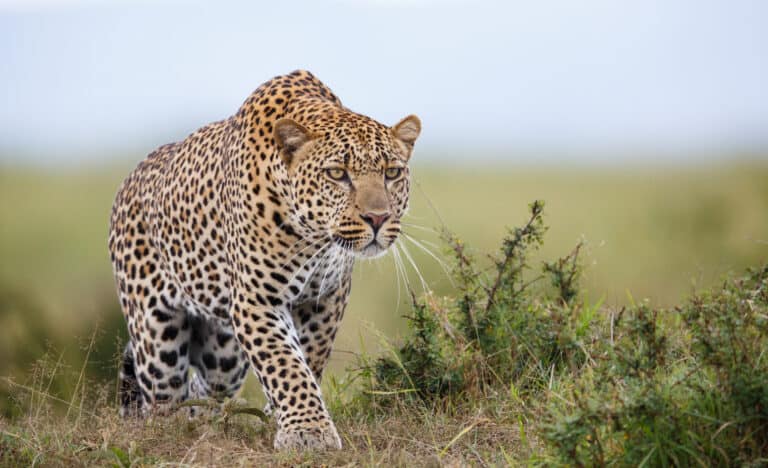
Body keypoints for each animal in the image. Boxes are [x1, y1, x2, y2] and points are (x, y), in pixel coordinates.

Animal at [108, 70, 421, 450]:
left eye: (392, 173)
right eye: (337, 174)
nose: (377, 218)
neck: (313, 237)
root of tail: (129, 180)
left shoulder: (325, 299)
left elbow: (308, 359)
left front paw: (282, 419)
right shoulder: (257, 300)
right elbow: (285, 363)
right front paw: (307, 431)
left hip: (223, 354)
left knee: (205, 389)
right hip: (157, 339)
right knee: (162, 400)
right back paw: (173, 432)